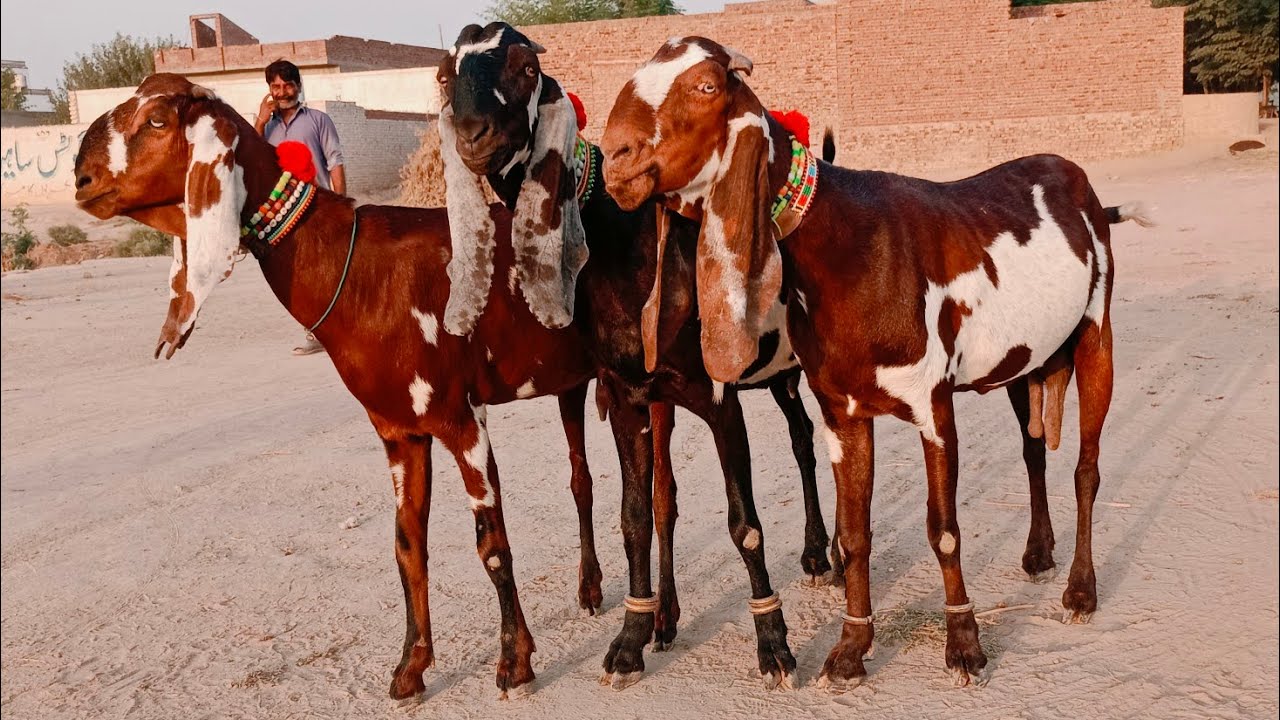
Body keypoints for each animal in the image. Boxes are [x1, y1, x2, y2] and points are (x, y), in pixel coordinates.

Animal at [72, 73, 617, 700]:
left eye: (158, 120)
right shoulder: (399, 430)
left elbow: (492, 544)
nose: (82, 178)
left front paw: (515, 663)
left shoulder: (462, 418)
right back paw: (591, 588)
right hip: (571, 378)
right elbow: (407, 544)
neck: (355, 269)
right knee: (581, 479)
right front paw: (411, 666)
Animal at [434, 22, 826, 689]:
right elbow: (638, 516)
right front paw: (632, 637)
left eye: (523, 65)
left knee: (803, 438)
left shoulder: (719, 399)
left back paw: (823, 552)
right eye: (444, 74)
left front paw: (773, 643)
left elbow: (744, 523)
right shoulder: (629, 396)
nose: (472, 137)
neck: (630, 241)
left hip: (785, 371)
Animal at [600, 37, 1153, 688]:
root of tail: (1085, 189)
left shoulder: (933, 407)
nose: (616, 157)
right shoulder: (842, 413)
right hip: (1027, 360)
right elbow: (856, 533)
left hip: (1096, 335)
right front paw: (850, 649)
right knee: (1035, 449)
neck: (851, 244)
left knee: (1086, 469)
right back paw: (1038, 552)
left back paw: (1080, 590)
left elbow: (944, 530)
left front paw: (964, 645)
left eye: (706, 86)